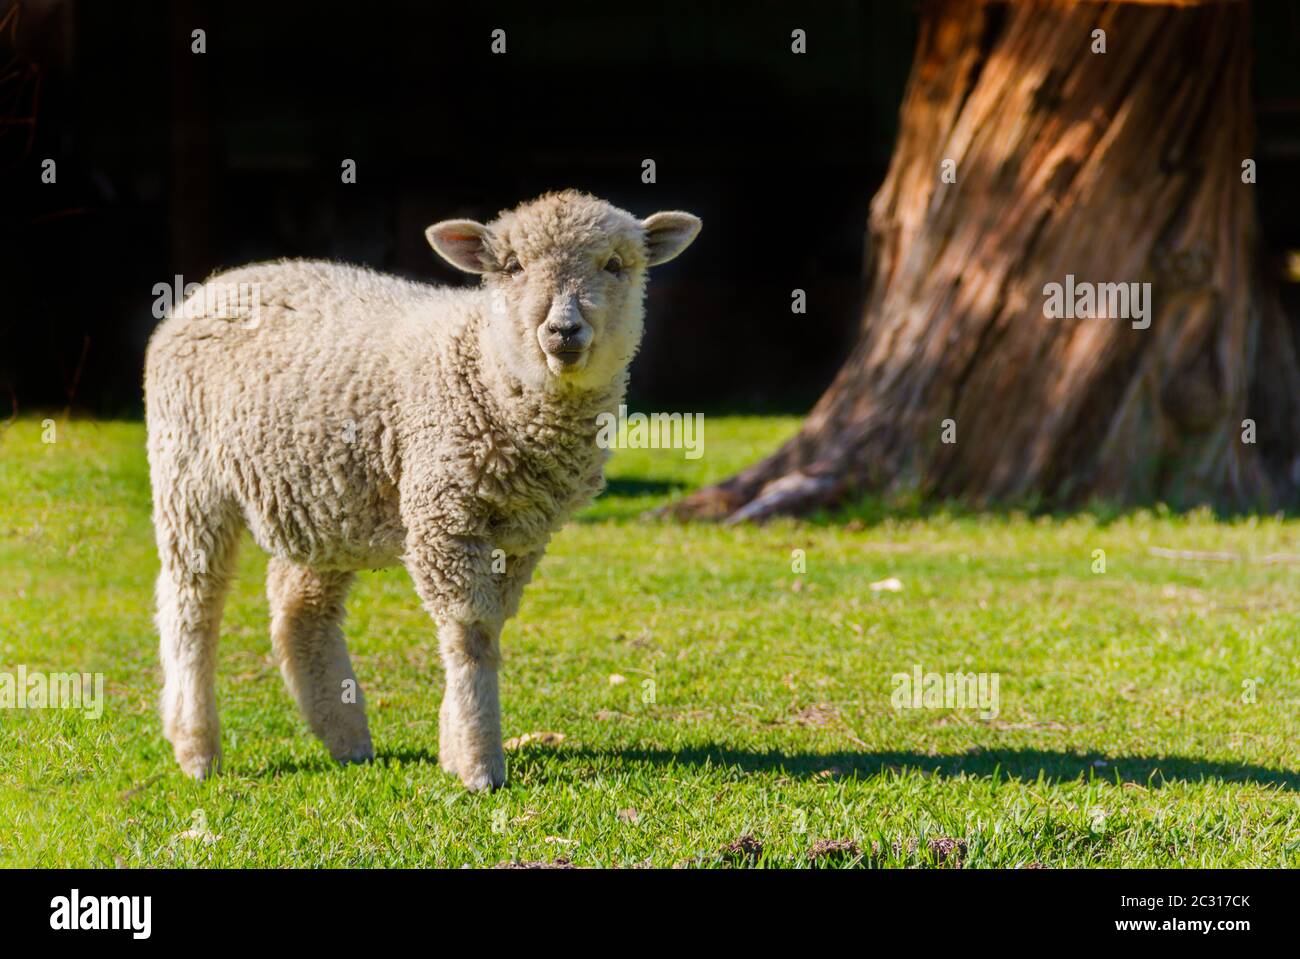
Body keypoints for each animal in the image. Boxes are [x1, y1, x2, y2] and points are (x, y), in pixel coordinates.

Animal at [144, 190, 701, 790]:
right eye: (512, 267)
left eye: (615, 265)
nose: (563, 330)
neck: (486, 365)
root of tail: (215, 284)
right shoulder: (444, 516)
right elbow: (469, 633)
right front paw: (479, 763)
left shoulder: (519, 536)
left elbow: (488, 630)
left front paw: (453, 744)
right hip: (188, 474)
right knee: (190, 603)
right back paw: (196, 748)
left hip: (323, 495)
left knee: (299, 607)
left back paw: (346, 738)